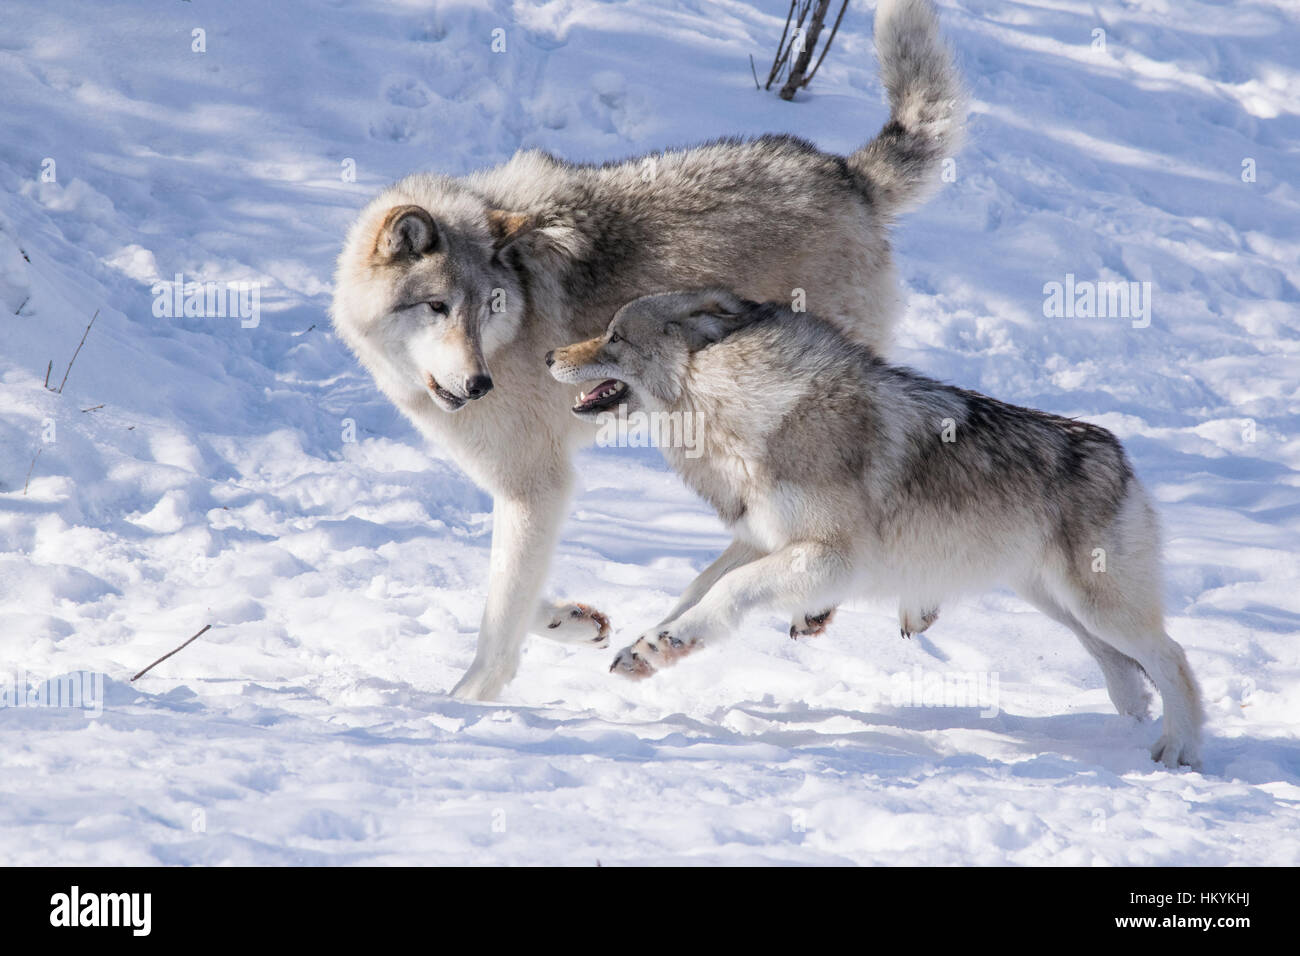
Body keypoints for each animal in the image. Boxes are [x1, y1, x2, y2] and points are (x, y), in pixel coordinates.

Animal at [330, 0, 964, 700]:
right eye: (439, 308)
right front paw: (573, 621)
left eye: (487, 309)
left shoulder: (535, 482)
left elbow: (499, 614)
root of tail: (847, 176)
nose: (478, 386)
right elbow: (503, 590)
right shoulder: (523, 489)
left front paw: (467, 704)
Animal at [547, 290, 1205, 768]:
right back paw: (1133, 719)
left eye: (614, 336)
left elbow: (727, 592)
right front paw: (646, 648)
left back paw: (1178, 749)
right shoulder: (764, 540)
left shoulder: (830, 556)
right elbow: (694, 588)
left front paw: (671, 642)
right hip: (1054, 601)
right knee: (1123, 668)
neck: (744, 413)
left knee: (1173, 658)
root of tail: (1120, 455)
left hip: (1097, 605)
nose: (550, 356)